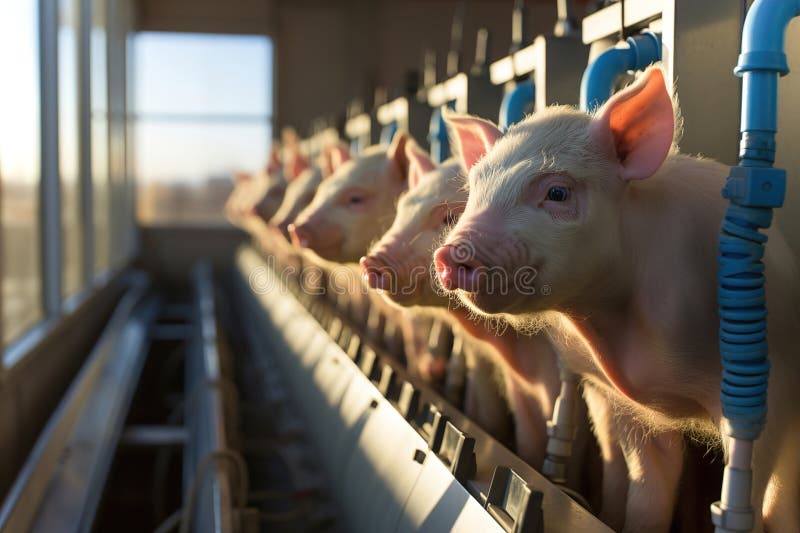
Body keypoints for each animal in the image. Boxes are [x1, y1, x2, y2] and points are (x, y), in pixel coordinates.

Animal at [433, 67, 800, 531]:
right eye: (476, 187)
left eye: (557, 193)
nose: (450, 253)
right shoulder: (625, 403)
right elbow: (647, 486)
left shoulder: (766, 392)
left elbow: (761, 494)